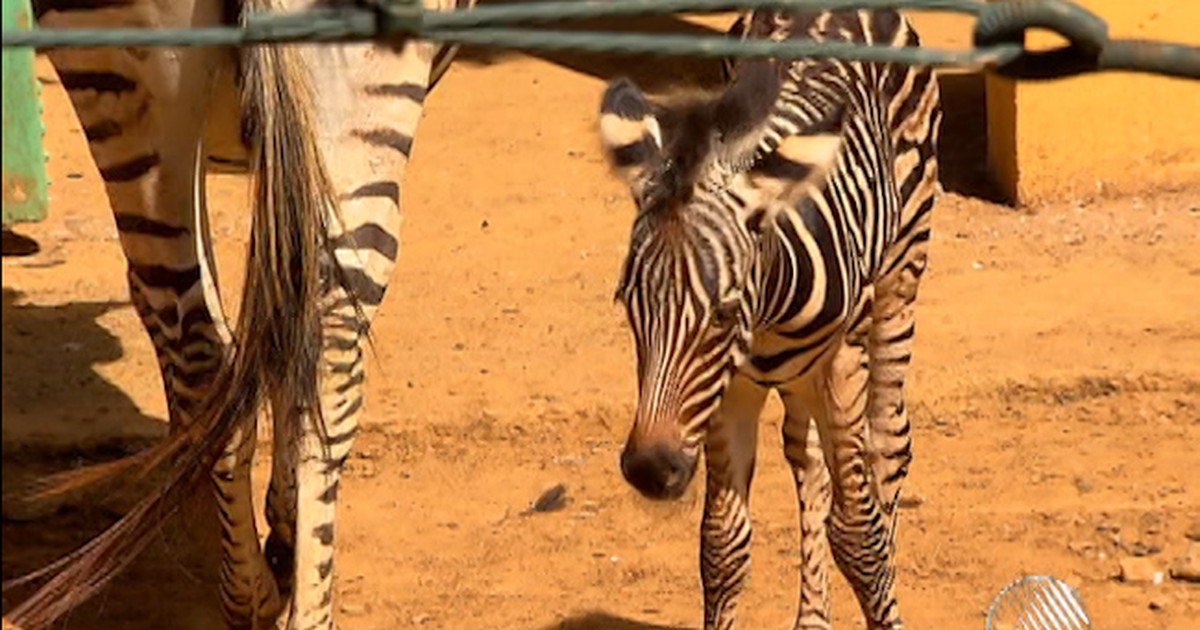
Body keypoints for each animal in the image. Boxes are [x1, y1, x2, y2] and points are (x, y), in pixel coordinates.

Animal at [597, 9, 941, 630]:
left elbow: (861, 537)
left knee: (889, 445)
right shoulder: (727, 388)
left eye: (724, 311)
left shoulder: (840, 363)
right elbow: (722, 545)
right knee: (810, 462)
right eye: (626, 304)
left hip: (903, 271)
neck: (767, 314)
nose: (651, 471)